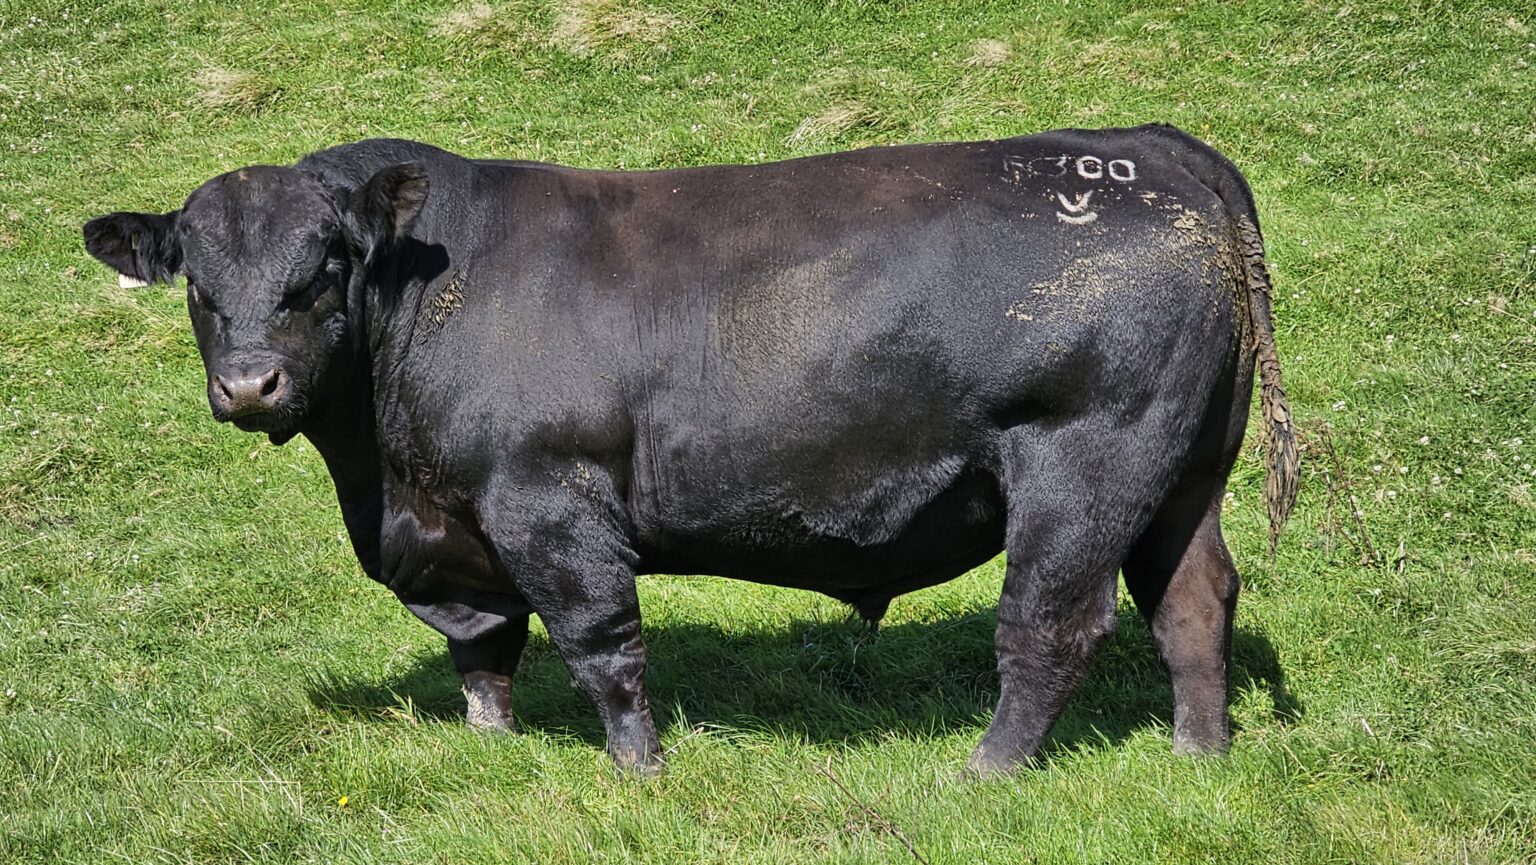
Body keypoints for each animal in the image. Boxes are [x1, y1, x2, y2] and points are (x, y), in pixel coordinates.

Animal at [83, 124, 1297, 776]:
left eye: (323, 266)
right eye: (198, 284)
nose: (251, 384)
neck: (387, 483)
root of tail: (1144, 151)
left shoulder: (547, 500)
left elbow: (600, 644)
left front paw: (638, 768)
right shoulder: (464, 531)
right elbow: (486, 653)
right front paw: (492, 747)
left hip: (1085, 463)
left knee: (1053, 624)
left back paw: (985, 770)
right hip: (1184, 471)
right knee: (1194, 599)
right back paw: (1198, 753)